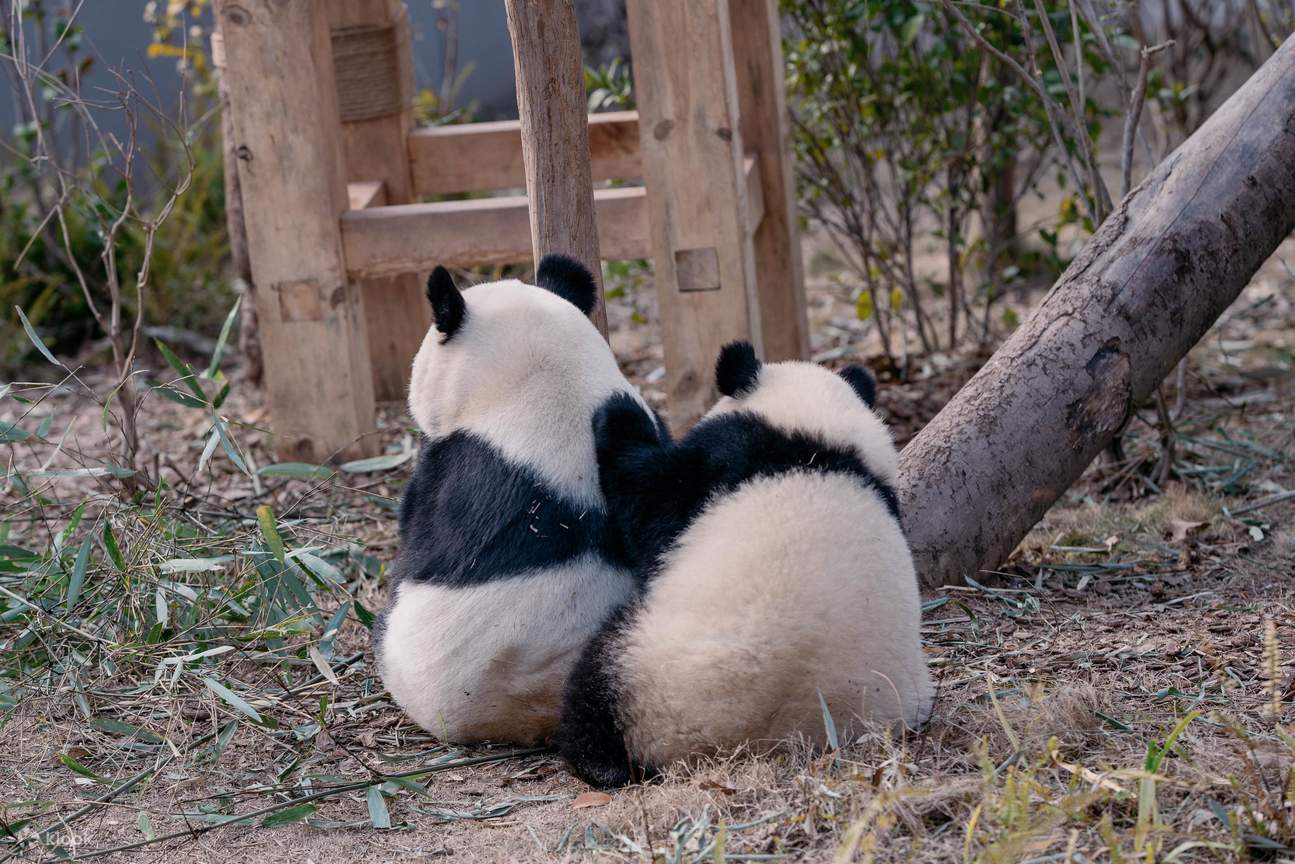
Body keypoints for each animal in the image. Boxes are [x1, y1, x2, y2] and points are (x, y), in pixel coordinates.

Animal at [555, 341, 935, 787]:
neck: (822, 443)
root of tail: (770, 741)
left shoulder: (724, 461)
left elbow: (648, 502)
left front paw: (620, 413)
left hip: (656, 673)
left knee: (595, 690)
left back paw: (597, 759)